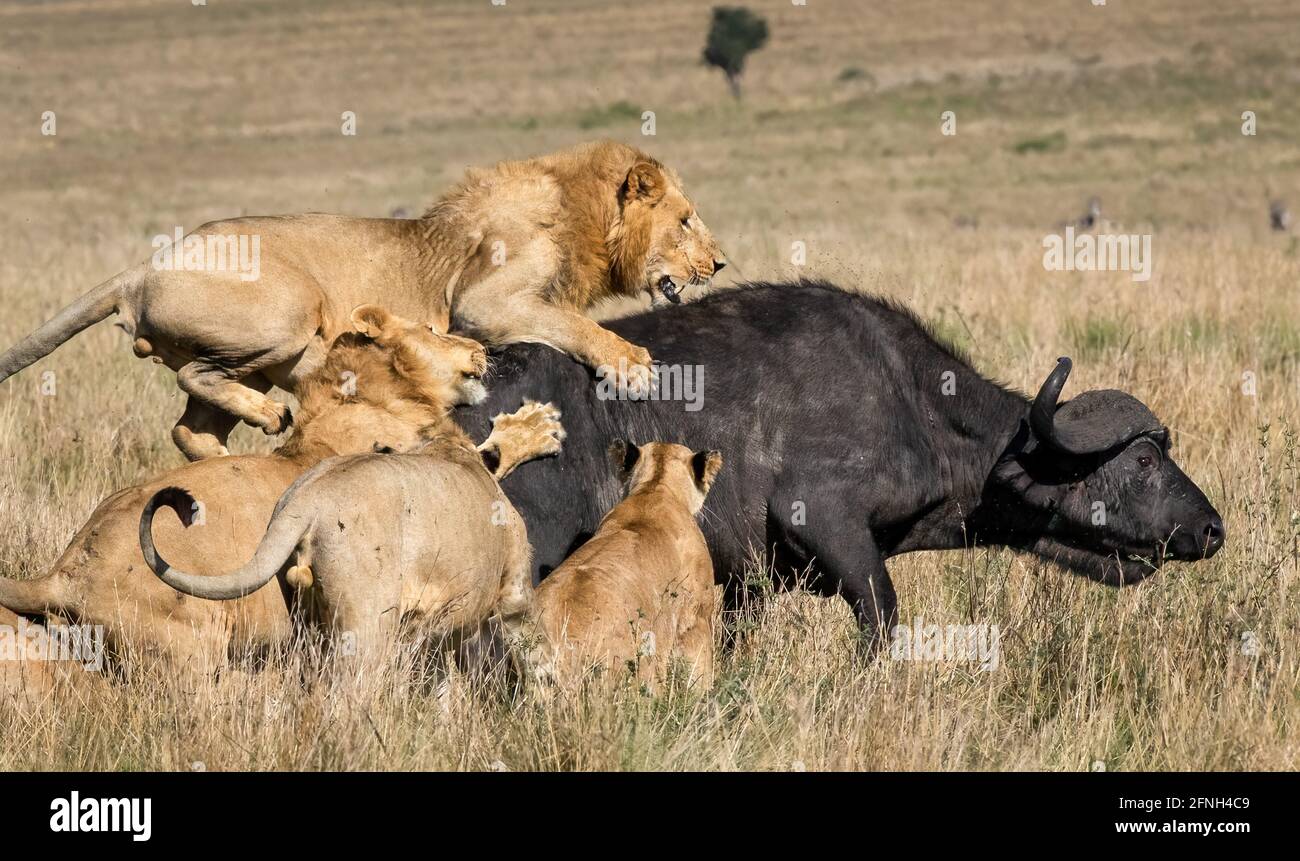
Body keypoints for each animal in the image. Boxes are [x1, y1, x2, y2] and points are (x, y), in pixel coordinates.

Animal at [0, 140, 724, 461]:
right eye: (687, 220)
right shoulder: (484, 302)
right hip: (291, 310)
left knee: (187, 425)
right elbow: (570, 323)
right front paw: (631, 364)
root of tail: (139, 269)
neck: (584, 218)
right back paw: (270, 419)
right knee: (196, 374)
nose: (719, 263)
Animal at [0, 305, 563, 677]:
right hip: (195, 654)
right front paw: (537, 427)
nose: (481, 349)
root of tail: (64, 572)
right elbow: (490, 457)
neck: (376, 390)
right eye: (431, 329)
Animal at [455, 280, 1225, 645]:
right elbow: (881, 615)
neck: (915, 403)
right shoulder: (827, 523)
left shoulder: (742, 582)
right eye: (1145, 458)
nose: (1211, 529)